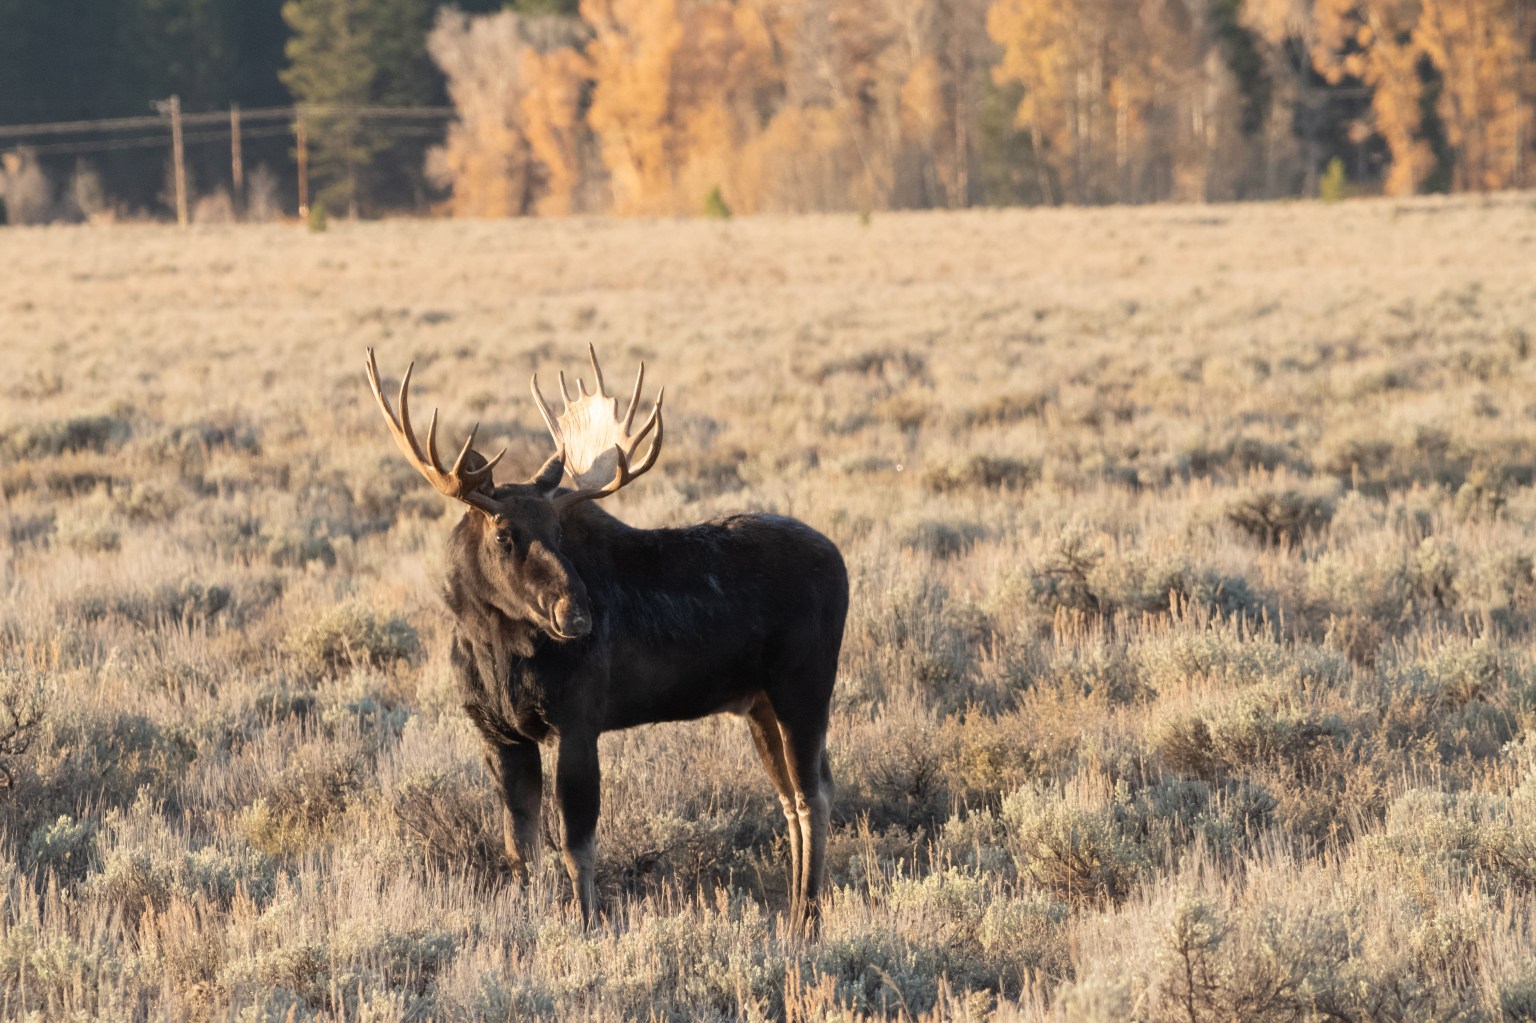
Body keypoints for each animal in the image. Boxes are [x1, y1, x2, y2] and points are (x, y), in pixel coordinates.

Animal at [364, 346, 848, 931]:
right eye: (504, 534)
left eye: (558, 531)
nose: (576, 613)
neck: (493, 649)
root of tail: (842, 562)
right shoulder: (499, 733)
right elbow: (520, 848)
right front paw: (531, 917)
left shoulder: (578, 722)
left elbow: (578, 844)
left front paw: (589, 924)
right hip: (758, 704)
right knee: (795, 795)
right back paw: (798, 911)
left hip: (803, 688)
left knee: (811, 795)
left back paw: (809, 919)